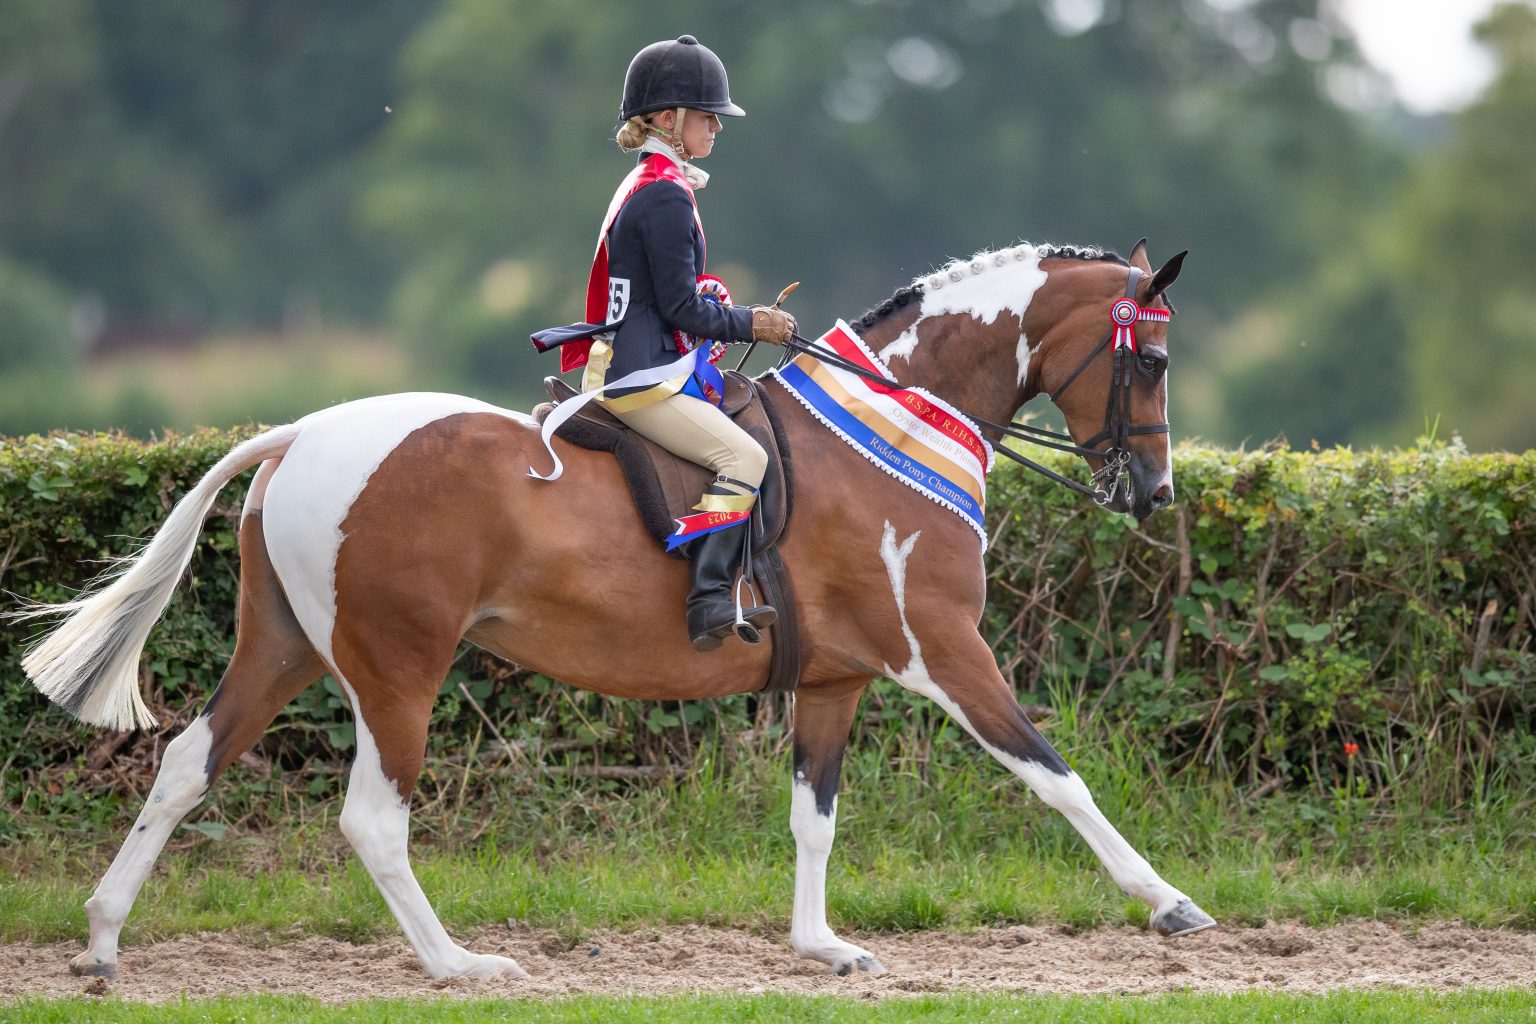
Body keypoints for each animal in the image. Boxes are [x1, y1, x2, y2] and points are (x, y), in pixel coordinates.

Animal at [18, 238, 1212, 982]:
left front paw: (821, 947)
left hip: (286, 648)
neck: (897, 421)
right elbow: (1055, 774)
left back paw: (103, 941)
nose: (1151, 492)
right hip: (396, 666)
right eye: (1151, 357)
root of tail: (304, 432)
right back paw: (457, 965)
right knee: (372, 818)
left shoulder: (833, 679)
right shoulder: (944, 651)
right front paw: (1167, 901)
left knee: (186, 766)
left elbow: (814, 816)